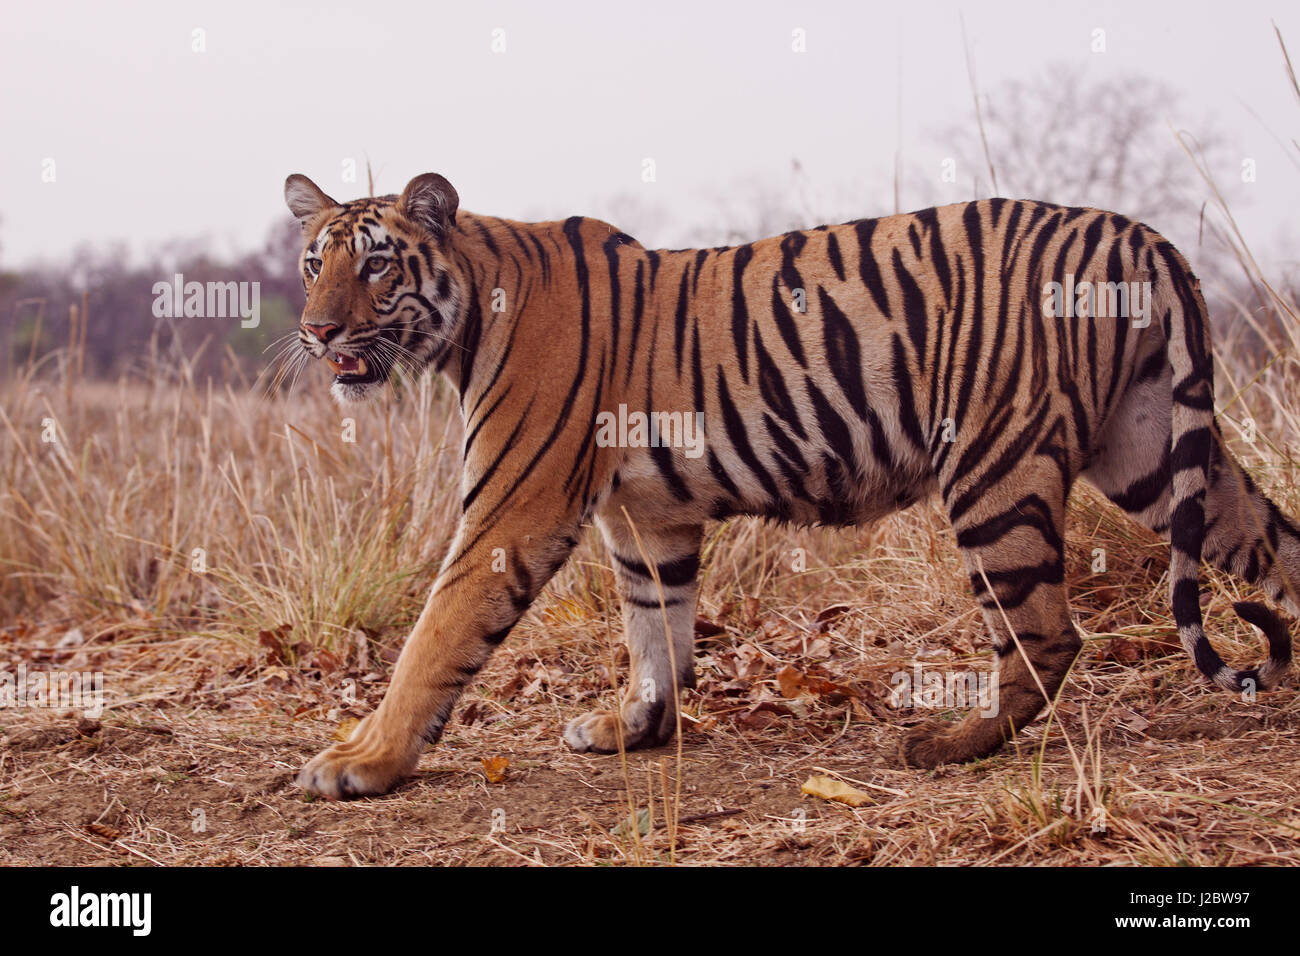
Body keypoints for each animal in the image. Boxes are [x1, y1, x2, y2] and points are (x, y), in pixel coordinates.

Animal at [284, 170, 1295, 800]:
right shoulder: (647, 520)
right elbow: (656, 632)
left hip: (996, 468)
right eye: (312, 262)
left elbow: (434, 638)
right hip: (1151, 450)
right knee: (1275, 540)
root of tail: (1140, 232)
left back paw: (946, 746)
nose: (317, 330)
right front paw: (634, 728)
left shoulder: (511, 511)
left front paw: (359, 761)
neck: (471, 311)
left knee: (1047, 634)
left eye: (376, 263)